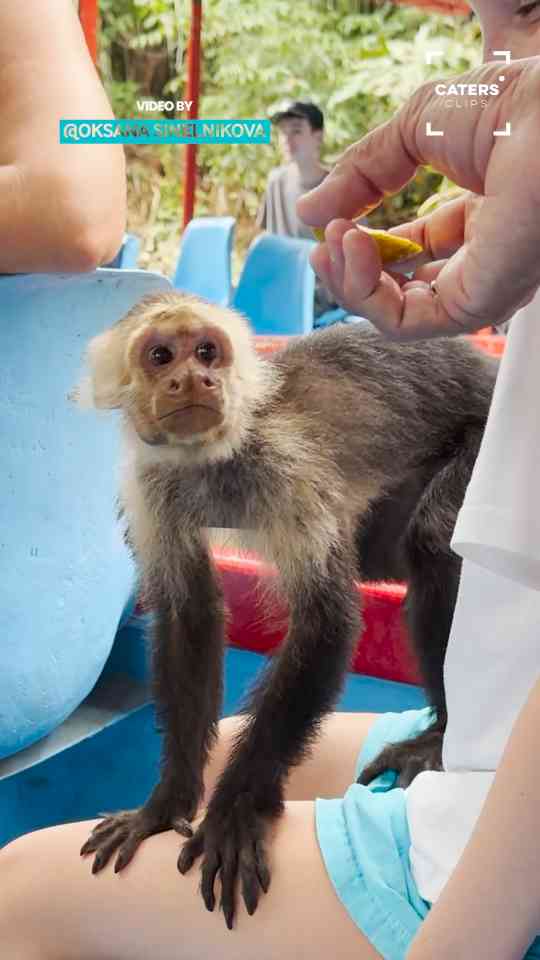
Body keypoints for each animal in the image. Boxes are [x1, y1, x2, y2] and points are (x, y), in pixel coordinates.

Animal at [75, 291, 498, 929]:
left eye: (207, 351)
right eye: (160, 356)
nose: (194, 379)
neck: (216, 460)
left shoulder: (285, 470)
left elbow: (327, 623)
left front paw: (235, 813)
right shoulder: (154, 486)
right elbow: (189, 616)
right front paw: (166, 804)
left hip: (493, 436)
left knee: (432, 542)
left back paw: (445, 732)